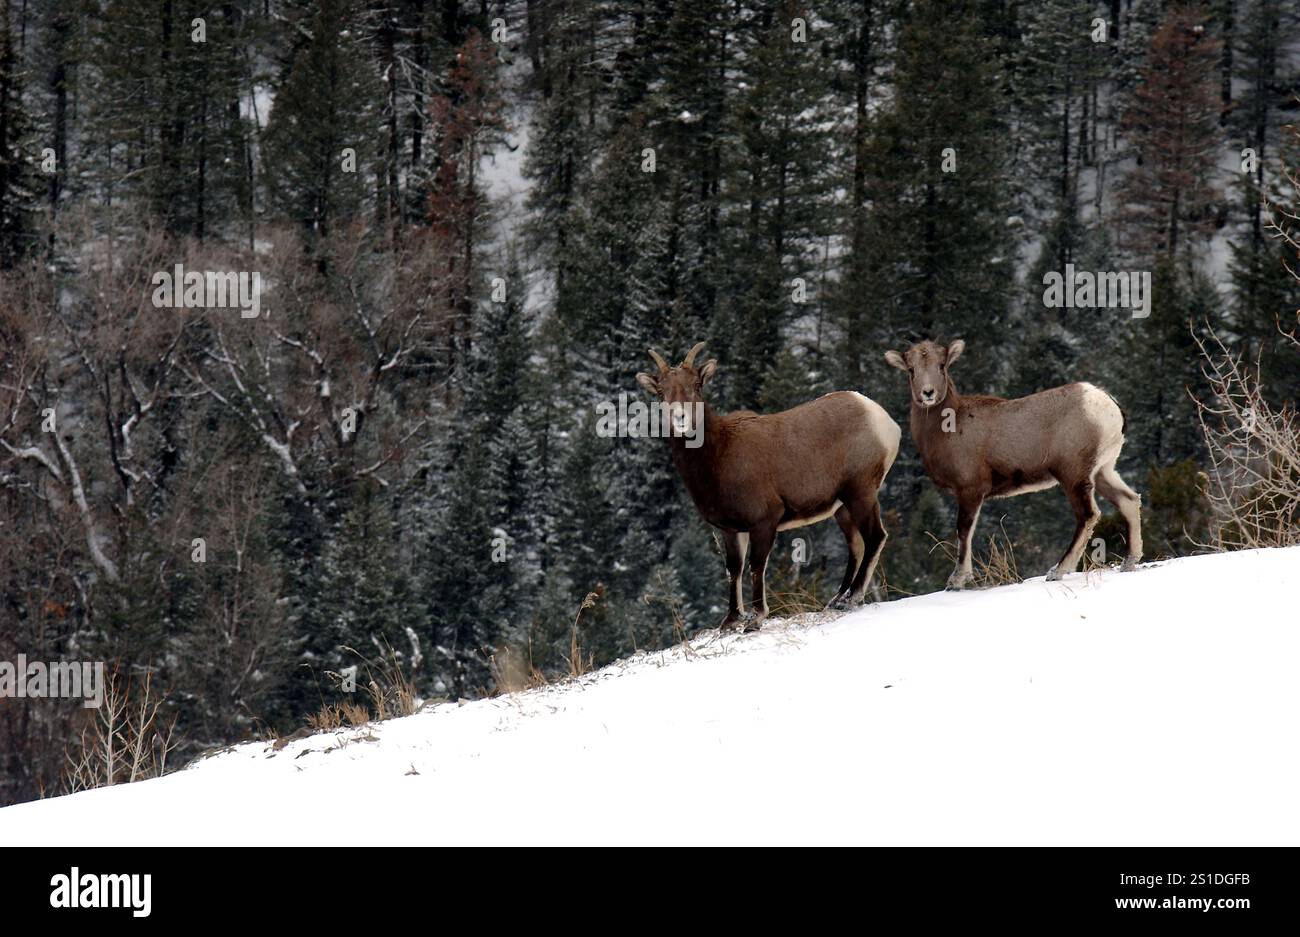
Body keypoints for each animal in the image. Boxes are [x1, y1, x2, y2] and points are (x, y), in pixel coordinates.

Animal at [636, 342, 901, 631]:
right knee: (856, 546)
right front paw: (730, 621)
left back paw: (852, 598)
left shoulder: (764, 521)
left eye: (696, 384)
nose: (680, 417)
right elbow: (734, 570)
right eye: (661, 391)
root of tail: (884, 422)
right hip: (842, 508)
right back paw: (837, 600)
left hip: (860, 494)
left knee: (875, 537)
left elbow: (756, 566)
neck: (718, 455)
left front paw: (755, 619)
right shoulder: (731, 530)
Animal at [884, 339, 1143, 588]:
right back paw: (1129, 563)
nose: (928, 393)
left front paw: (957, 581)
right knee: (1129, 501)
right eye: (911, 369)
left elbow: (964, 532)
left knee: (1088, 515)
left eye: (942, 365)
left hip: (1073, 475)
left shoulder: (970, 490)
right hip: (1102, 472)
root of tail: (1107, 404)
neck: (947, 428)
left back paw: (1057, 571)